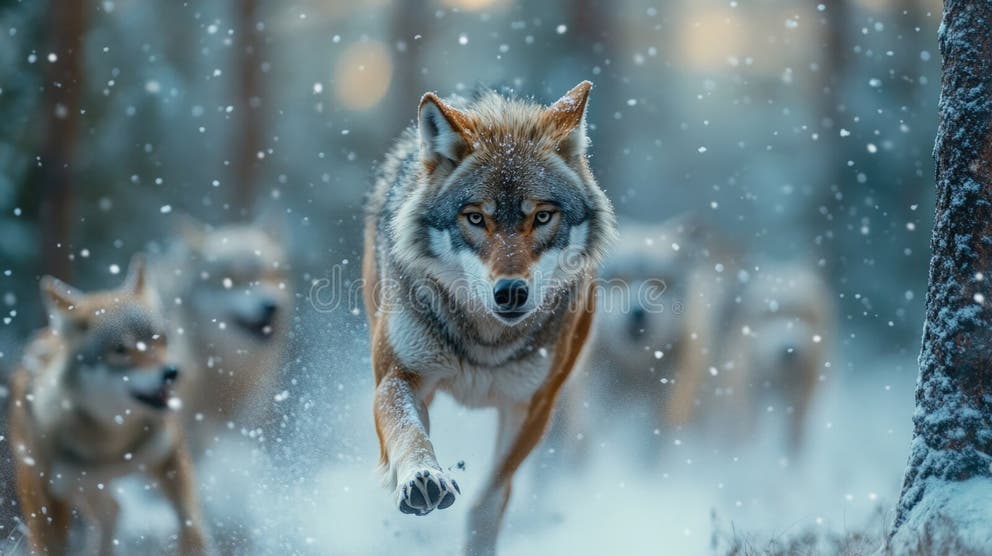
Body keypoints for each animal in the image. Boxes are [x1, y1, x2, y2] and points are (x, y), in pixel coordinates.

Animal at [7, 256, 207, 555]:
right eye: (121, 350)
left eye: (161, 339)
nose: (172, 372)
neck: (111, 446)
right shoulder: (47, 500)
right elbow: (49, 546)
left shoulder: (170, 457)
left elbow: (190, 520)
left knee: (115, 509)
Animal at [362, 81, 616, 555]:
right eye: (476, 217)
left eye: (542, 216)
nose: (511, 291)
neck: (487, 342)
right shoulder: (397, 377)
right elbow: (409, 433)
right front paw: (423, 478)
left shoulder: (533, 406)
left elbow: (489, 500)